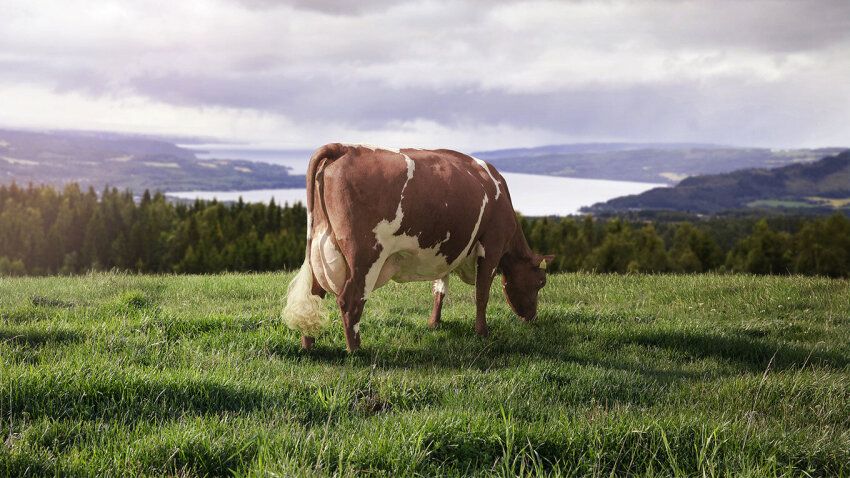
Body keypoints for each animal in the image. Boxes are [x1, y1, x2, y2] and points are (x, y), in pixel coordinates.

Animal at [283, 143, 554, 352]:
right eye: (541, 282)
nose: (532, 318)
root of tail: (344, 147)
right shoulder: (492, 245)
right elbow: (482, 294)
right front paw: (482, 332)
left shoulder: (448, 250)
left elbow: (439, 289)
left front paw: (434, 323)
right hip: (365, 254)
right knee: (350, 300)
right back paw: (356, 351)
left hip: (321, 248)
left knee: (314, 295)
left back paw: (309, 344)